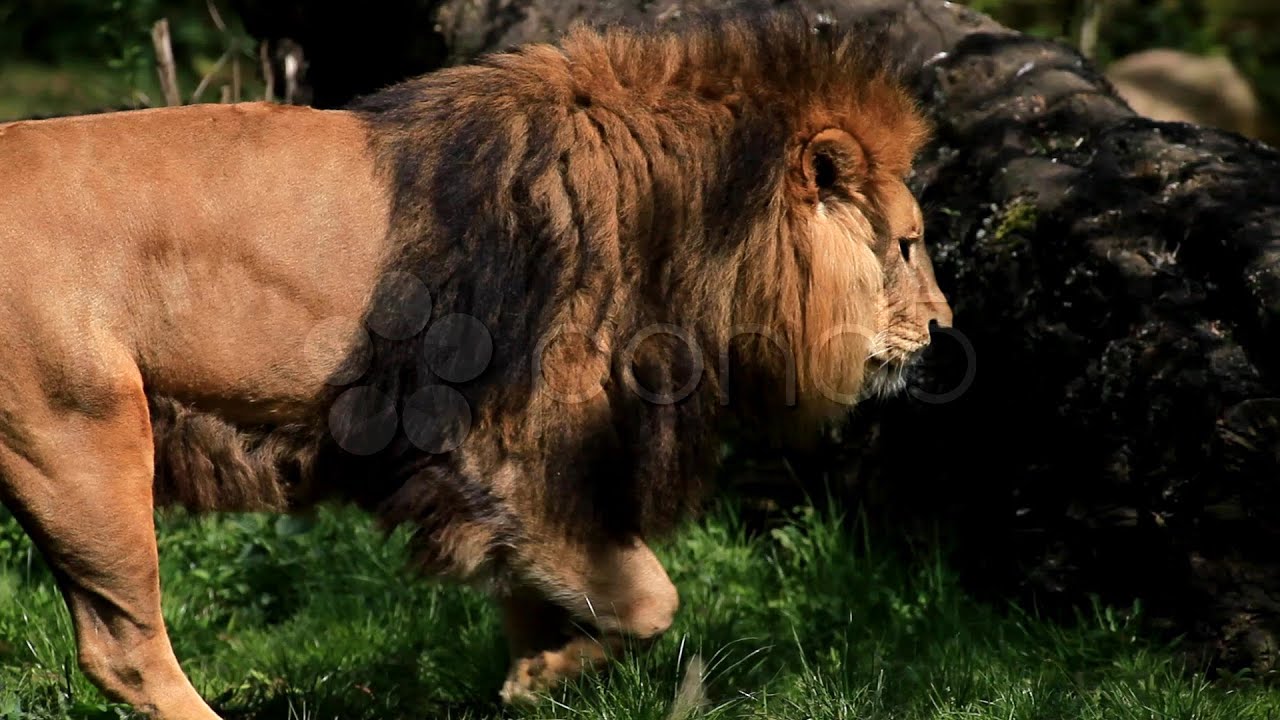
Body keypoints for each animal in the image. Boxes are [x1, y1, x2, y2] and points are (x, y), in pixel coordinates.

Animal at [0, 7, 951, 718]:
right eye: (907, 245)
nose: (943, 330)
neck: (680, 221)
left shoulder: (519, 476)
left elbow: (544, 592)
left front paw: (536, 673)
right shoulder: (513, 446)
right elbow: (649, 601)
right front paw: (540, 679)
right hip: (82, 441)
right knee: (124, 650)